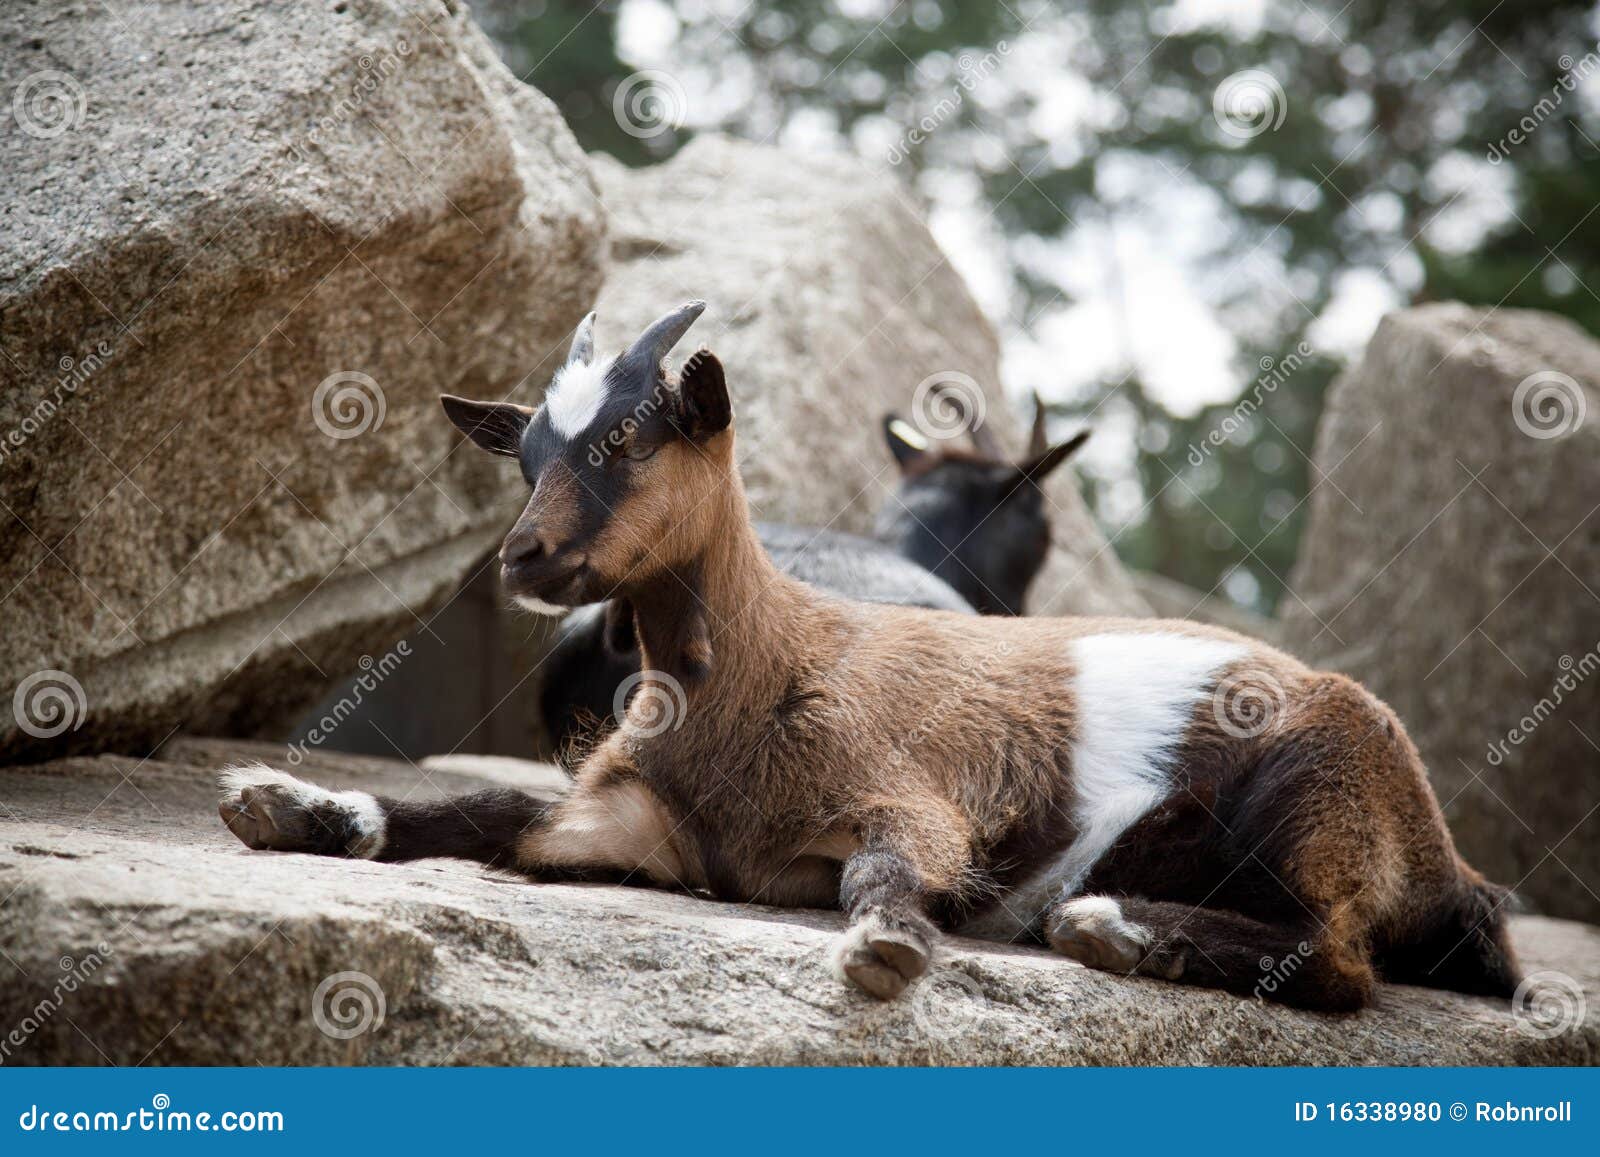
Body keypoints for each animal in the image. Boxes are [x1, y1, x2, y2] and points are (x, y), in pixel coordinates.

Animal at [219, 301, 1520, 1012]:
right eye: (525, 447)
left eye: (632, 434)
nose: (526, 556)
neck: (771, 660)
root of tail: (1445, 860)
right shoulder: (642, 829)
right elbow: (481, 810)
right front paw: (288, 804)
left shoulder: (913, 798)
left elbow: (882, 872)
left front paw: (888, 947)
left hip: (1311, 795)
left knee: (1339, 956)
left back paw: (1107, 923)